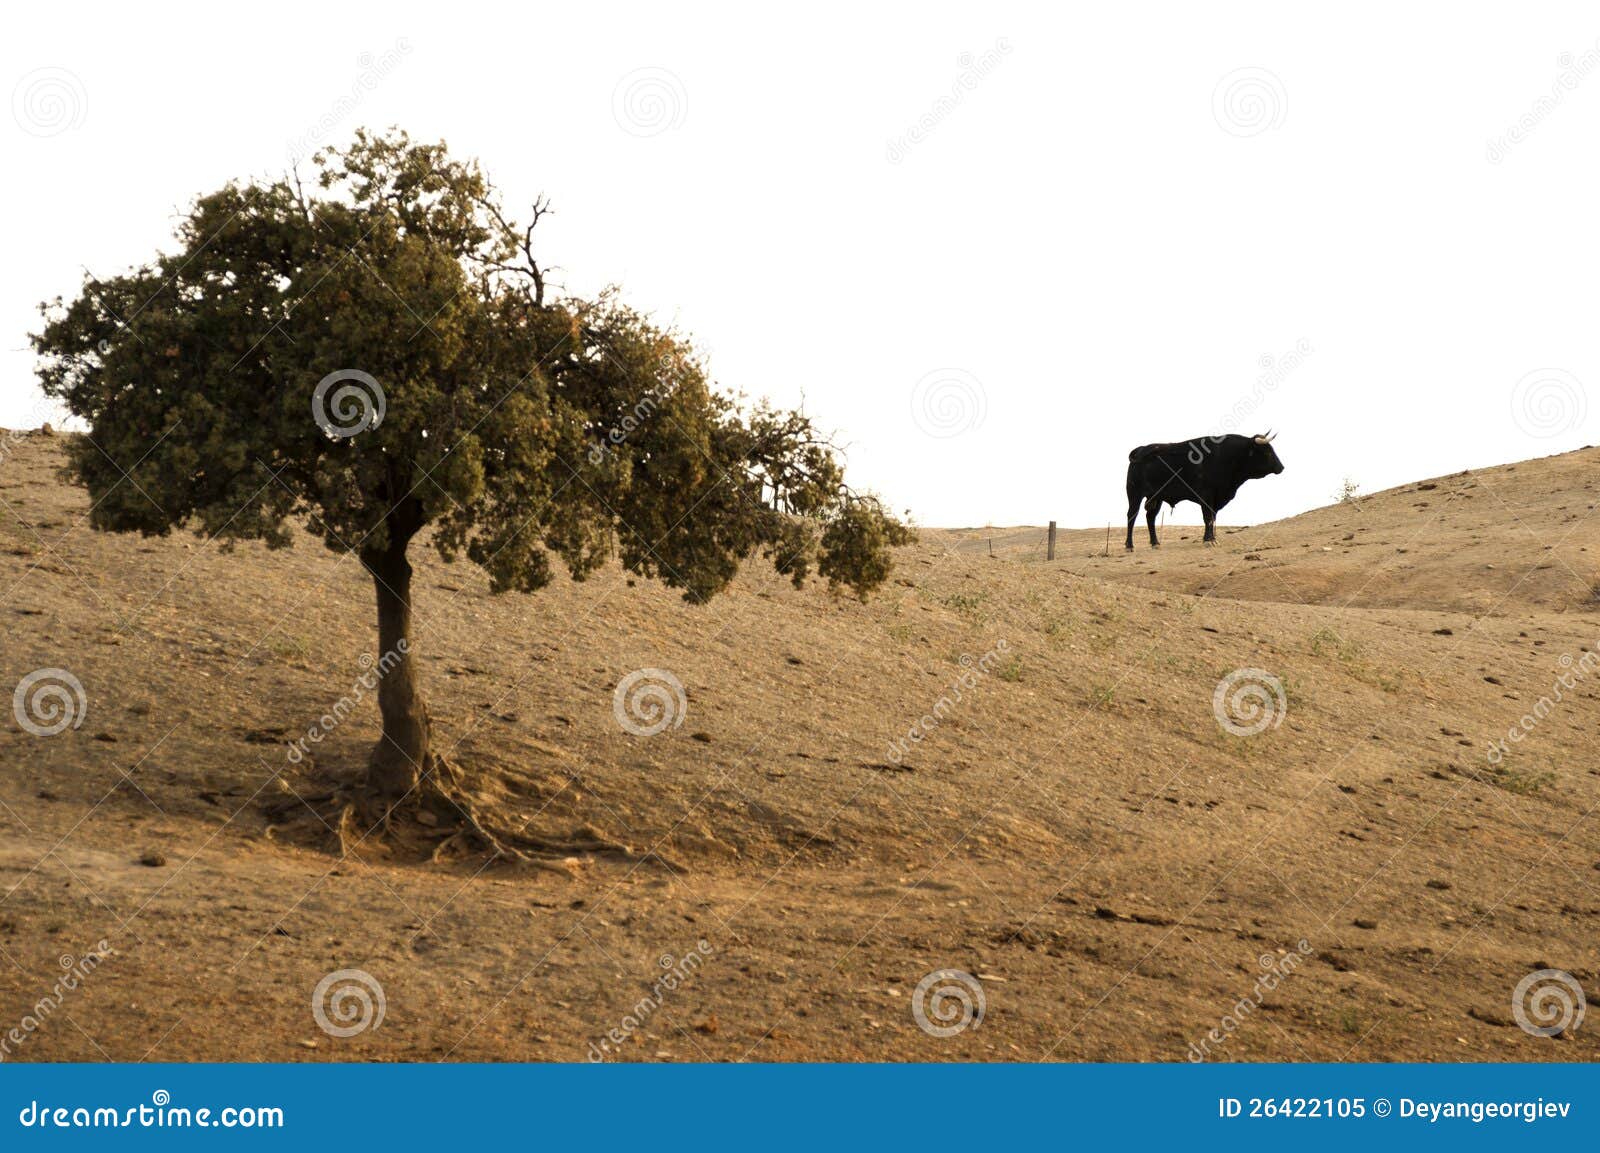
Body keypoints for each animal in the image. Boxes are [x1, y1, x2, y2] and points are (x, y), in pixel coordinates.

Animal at [1124, 432, 1284, 550]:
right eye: (1267, 452)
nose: (1281, 467)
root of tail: (1140, 450)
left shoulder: (1215, 498)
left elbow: (1212, 517)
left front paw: (1212, 539)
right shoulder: (1206, 496)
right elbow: (1207, 517)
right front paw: (1208, 541)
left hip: (1156, 497)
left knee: (1150, 517)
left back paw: (1155, 543)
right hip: (1134, 494)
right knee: (1132, 515)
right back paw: (1129, 546)